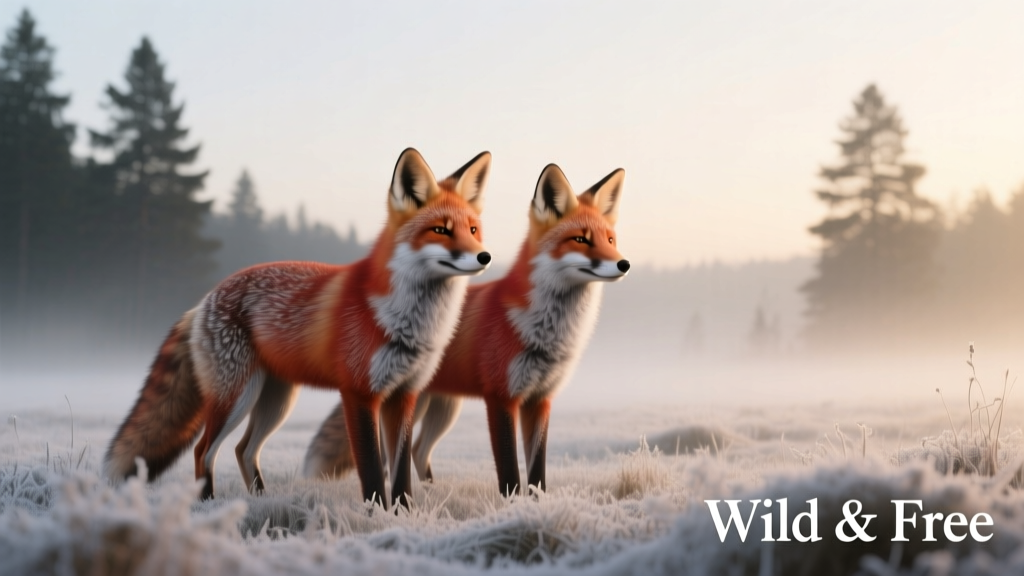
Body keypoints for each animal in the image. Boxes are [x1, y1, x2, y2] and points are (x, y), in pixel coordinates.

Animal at [103, 148, 493, 509]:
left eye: (473, 230)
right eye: (440, 230)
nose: (485, 256)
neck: (409, 322)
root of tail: (204, 300)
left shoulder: (405, 394)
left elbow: (400, 475)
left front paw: (402, 514)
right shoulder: (359, 394)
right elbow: (371, 469)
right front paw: (377, 514)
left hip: (276, 401)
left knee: (244, 450)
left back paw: (261, 501)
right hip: (236, 397)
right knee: (203, 451)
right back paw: (207, 507)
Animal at [299, 163, 628, 496]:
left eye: (610, 240)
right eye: (581, 240)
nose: (624, 264)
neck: (547, 330)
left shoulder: (540, 399)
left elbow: (537, 472)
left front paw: (537, 502)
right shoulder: (501, 396)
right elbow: (510, 471)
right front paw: (513, 504)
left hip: (443, 408)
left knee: (417, 450)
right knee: (393, 456)